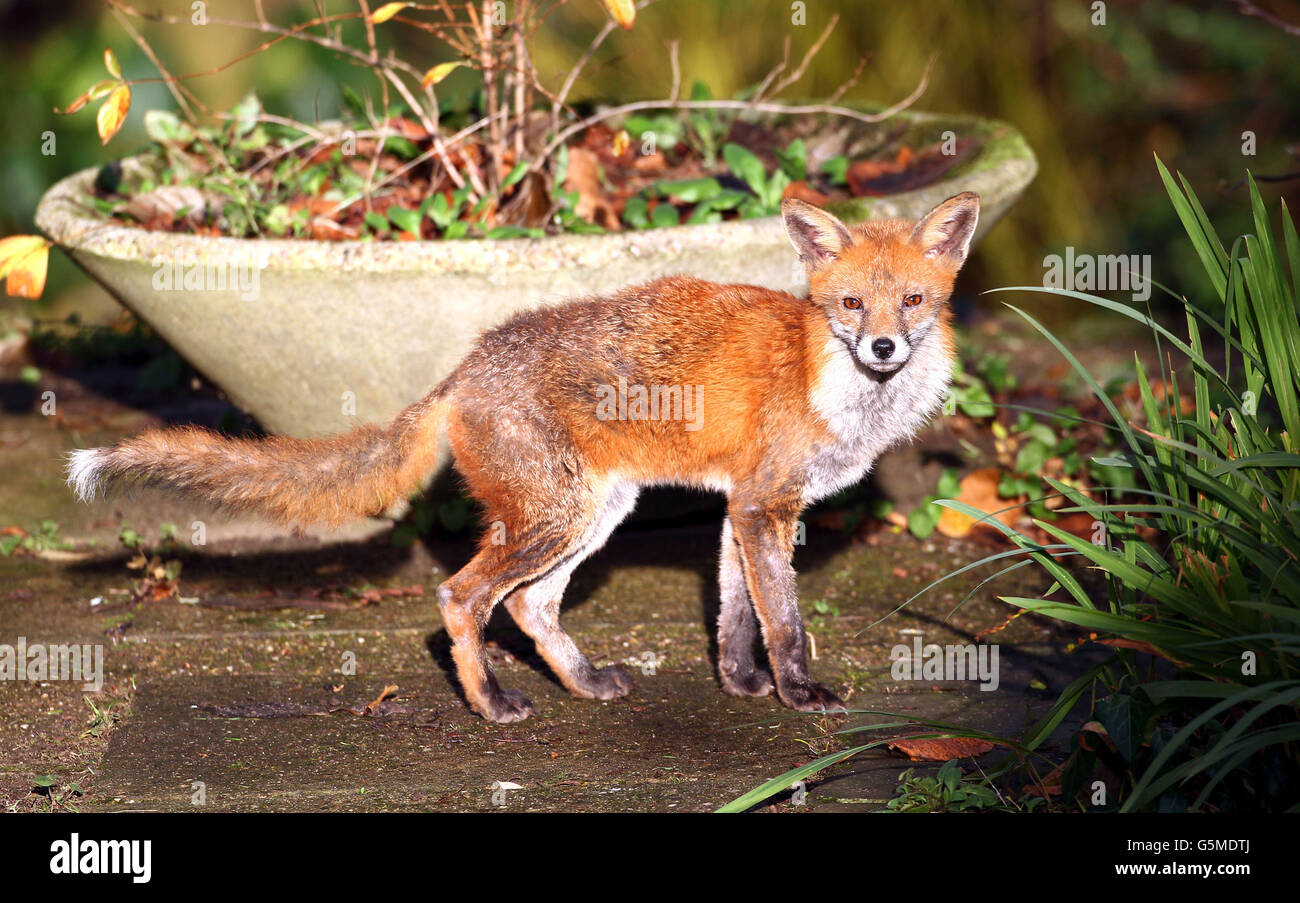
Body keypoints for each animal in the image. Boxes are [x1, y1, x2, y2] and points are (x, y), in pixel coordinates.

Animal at [66, 192, 979, 723]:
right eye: (850, 304)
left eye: (914, 301)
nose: (886, 347)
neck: (833, 380)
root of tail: (466, 365)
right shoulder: (764, 505)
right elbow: (784, 619)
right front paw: (798, 694)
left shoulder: (741, 505)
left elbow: (734, 616)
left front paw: (740, 684)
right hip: (556, 517)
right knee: (464, 596)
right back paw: (493, 704)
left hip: (592, 514)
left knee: (532, 607)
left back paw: (583, 684)